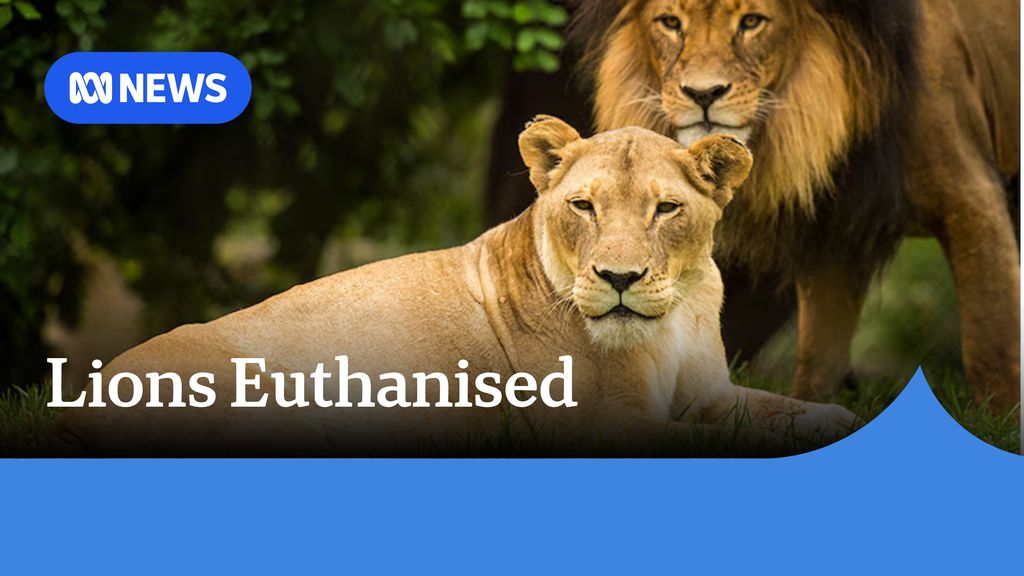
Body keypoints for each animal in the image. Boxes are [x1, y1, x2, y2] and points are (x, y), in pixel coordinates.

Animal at [50, 117, 856, 457]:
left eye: (666, 209)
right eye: (584, 206)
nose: (620, 279)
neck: (674, 318)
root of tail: (76, 403)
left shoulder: (713, 392)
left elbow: (790, 411)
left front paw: (844, 422)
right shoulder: (601, 427)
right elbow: (711, 440)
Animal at [570, 0, 1020, 409]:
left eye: (752, 21)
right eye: (670, 22)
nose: (703, 93)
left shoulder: (970, 198)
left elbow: (990, 338)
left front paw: (1001, 417)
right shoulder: (834, 229)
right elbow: (821, 345)